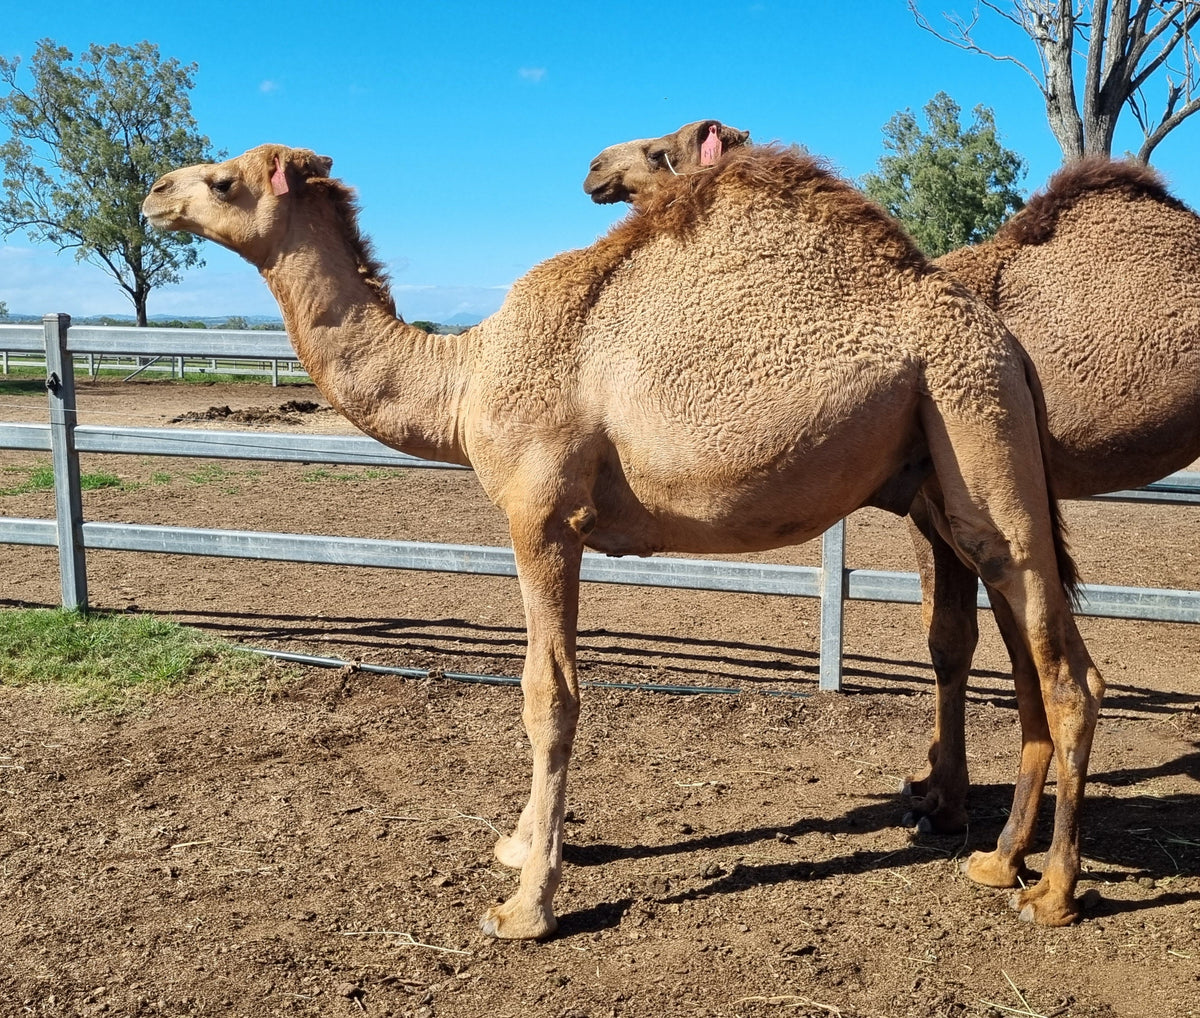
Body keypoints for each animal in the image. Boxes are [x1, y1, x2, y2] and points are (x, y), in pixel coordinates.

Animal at [143, 143, 1103, 938]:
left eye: (221, 180)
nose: (154, 193)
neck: (467, 373)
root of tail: (1010, 347)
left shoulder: (541, 517)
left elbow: (549, 693)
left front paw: (526, 904)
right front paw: (518, 845)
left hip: (975, 420)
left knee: (1068, 673)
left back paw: (1053, 893)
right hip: (948, 468)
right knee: (1033, 654)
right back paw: (996, 863)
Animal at [584, 129, 1198, 835]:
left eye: (662, 152)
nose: (596, 168)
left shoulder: (940, 498)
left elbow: (952, 639)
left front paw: (945, 802)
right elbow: (962, 637)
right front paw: (937, 790)